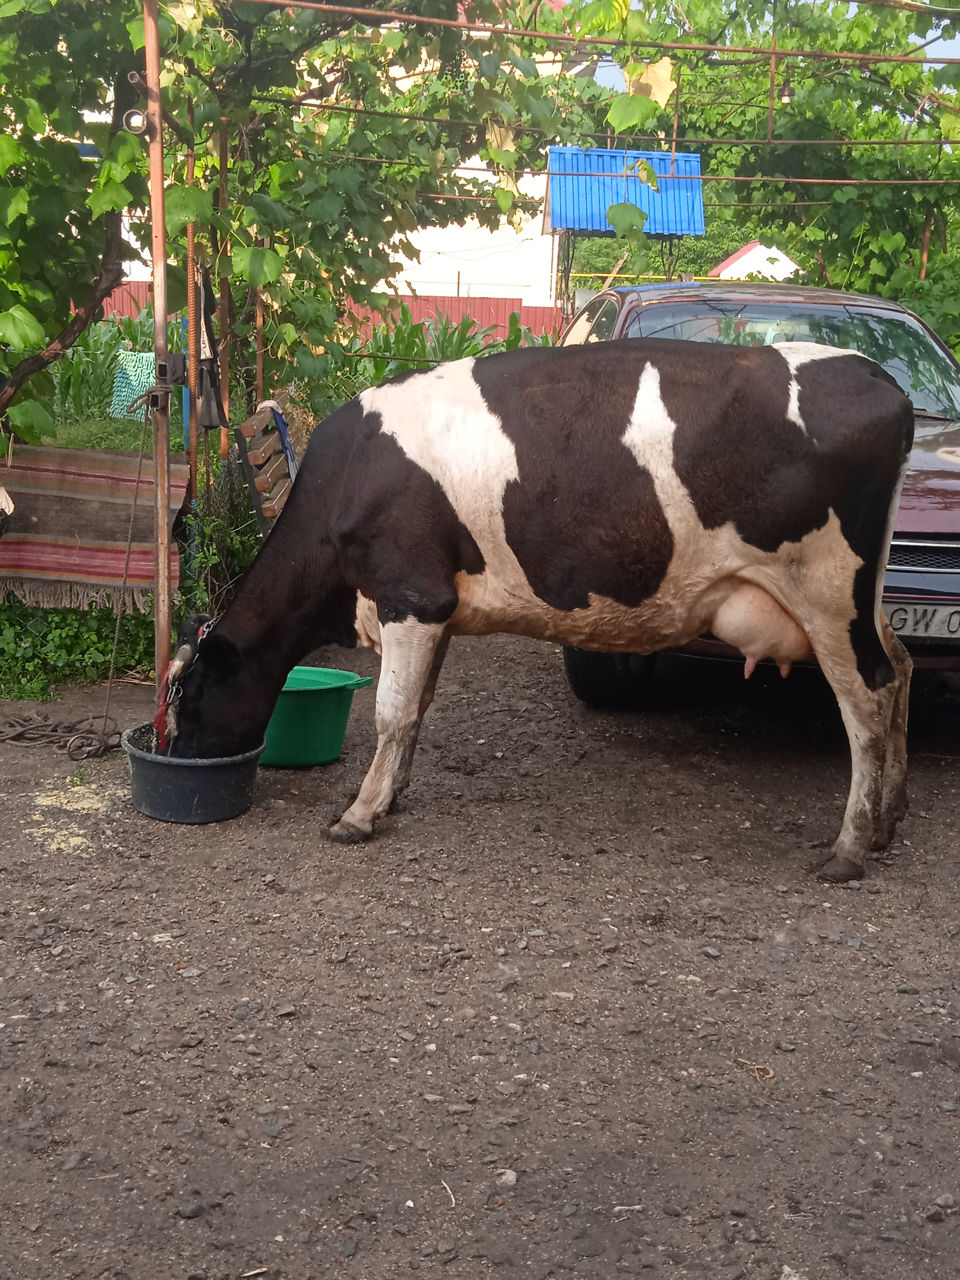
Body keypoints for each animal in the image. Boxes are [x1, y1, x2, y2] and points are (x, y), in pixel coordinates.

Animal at [163, 338, 914, 882]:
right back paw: (888, 820)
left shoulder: (410, 593)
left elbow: (391, 712)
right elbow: (418, 709)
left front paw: (360, 813)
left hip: (826, 589)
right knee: (900, 666)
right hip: (860, 596)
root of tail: (880, 380)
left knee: (868, 698)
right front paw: (393, 792)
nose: (176, 754)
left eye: (189, 696)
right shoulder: (438, 607)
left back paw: (850, 848)